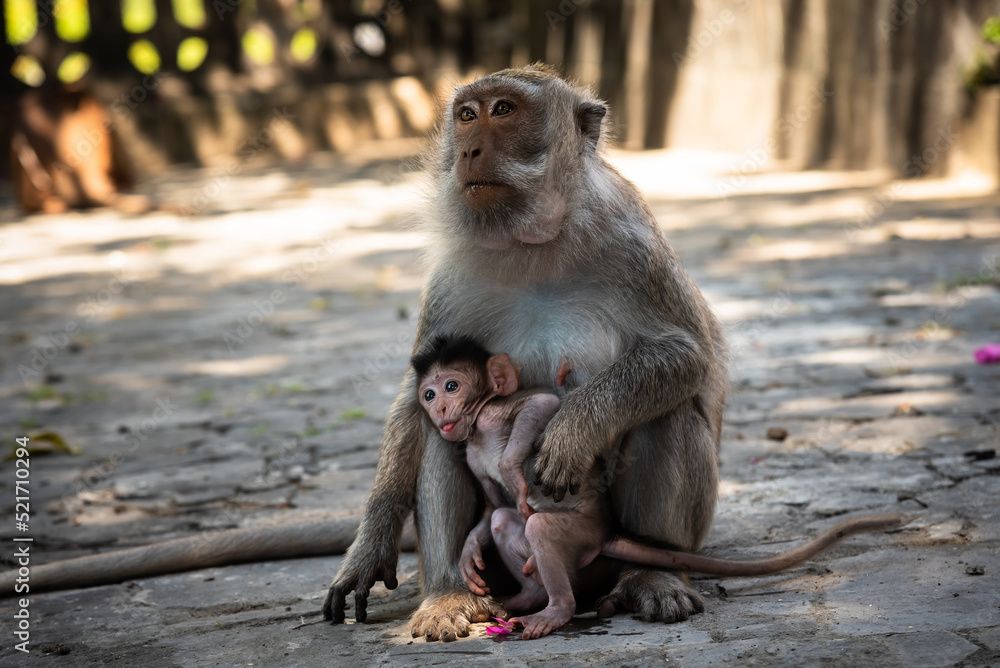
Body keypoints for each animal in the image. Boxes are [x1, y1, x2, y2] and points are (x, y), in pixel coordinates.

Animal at [411, 335, 905, 639]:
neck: (476, 430)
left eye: (452, 385)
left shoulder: (496, 413)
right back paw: (525, 598)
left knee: (540, 530)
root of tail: (608, 534)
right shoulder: (467, 448)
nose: (439, 410)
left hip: (582, 531)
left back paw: (556, 609)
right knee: (504, 521)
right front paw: (470, 549)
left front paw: (516, 464)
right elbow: (491, 506)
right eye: (428, 394)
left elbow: (542, 404)